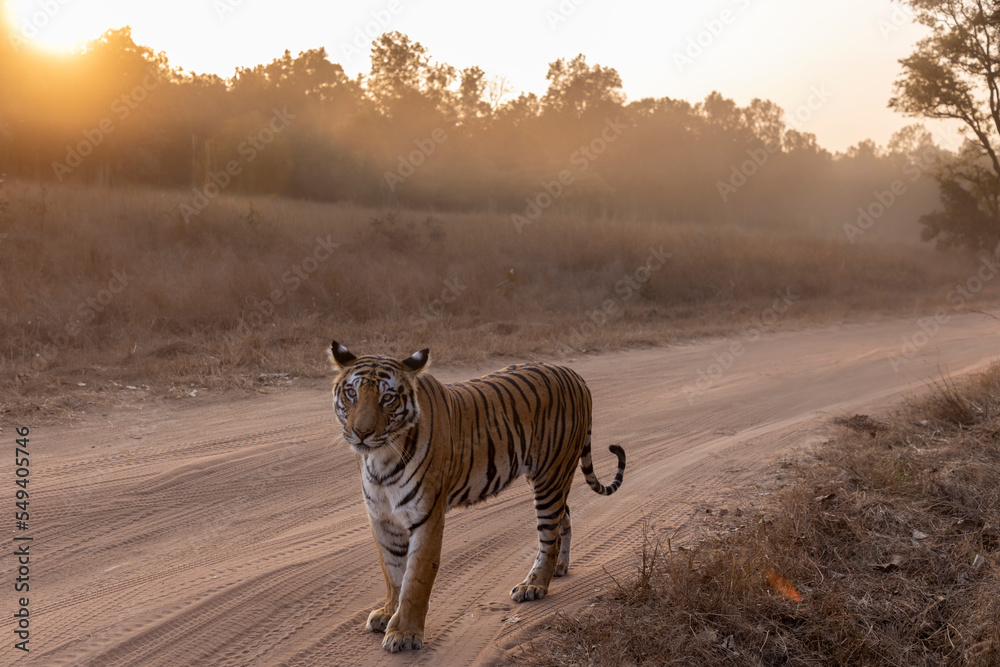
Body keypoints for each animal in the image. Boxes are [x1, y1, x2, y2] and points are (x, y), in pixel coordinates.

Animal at [328, 341, 626, 653]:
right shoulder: (382, 519)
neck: (380, 458)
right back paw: (559, 568)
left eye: (387, 398)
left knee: (549, 535)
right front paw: (388, 613)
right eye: (352, 393)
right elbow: (392, 573)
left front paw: (404, 633)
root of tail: (575, 374)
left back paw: (534, 585)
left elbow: (414, 579)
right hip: (549, 478)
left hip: (551, 476)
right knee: (563, 520)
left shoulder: (426, 518)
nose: (361, 433)